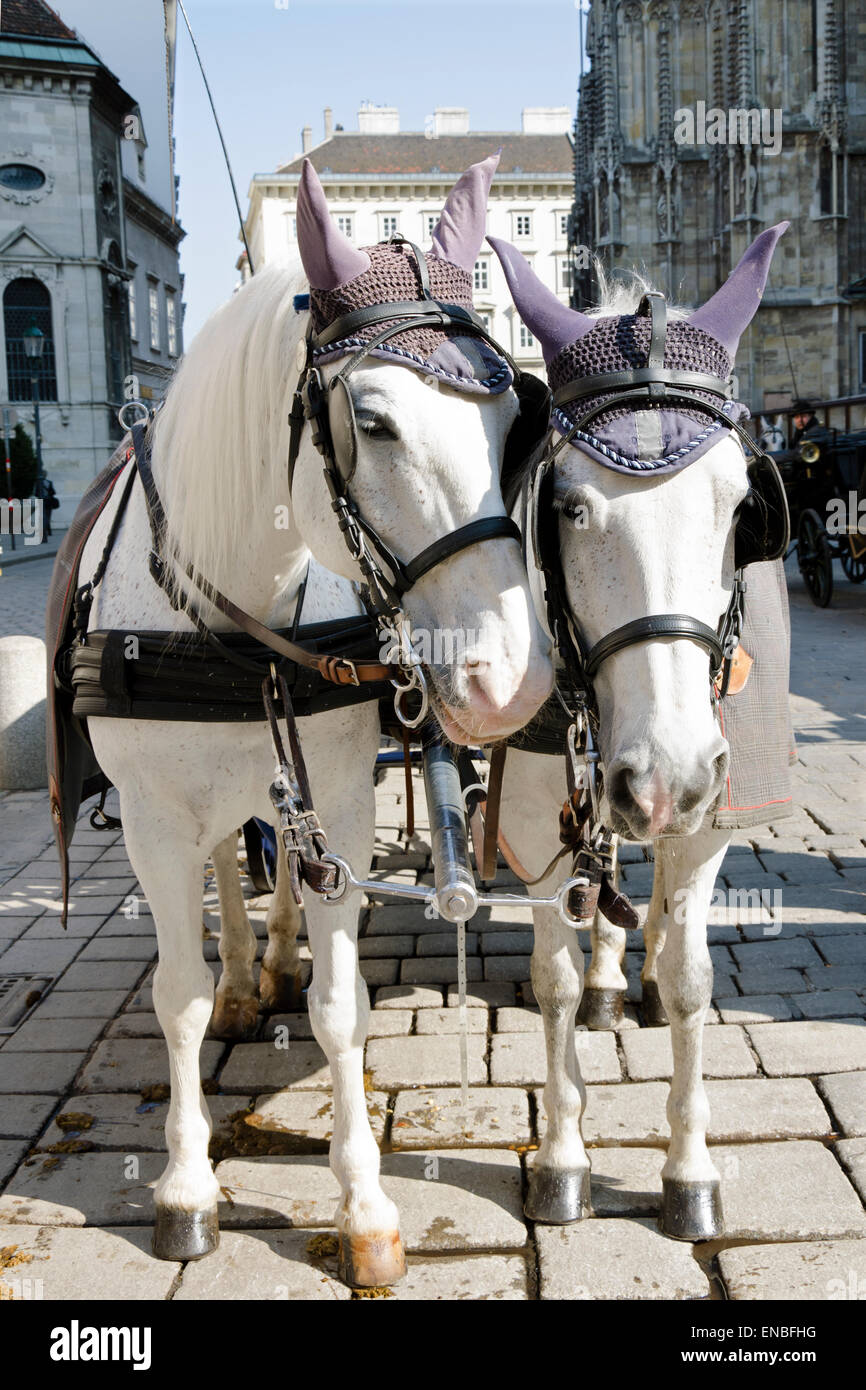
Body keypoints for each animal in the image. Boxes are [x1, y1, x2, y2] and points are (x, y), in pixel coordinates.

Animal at [71, 155, 554, 1286]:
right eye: (371, 422)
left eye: (514, 419)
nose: (511, 682)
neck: (237, 617)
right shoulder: (153, 821)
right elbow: (177, 993)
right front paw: (185, 1188)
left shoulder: (334, 793)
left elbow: (341, 1008)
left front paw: (366, 1204)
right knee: (225, 866)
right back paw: (250, 974)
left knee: (279, 859)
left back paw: (280, 952)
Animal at [488, 225, 791, 1240]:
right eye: (569, 506)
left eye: (741, 506)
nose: (667, 776)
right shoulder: (539, 823)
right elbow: (553, 979)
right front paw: (562, 1159)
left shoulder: (707, 816)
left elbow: (696, 979)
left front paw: (689, 1170)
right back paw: (611, 981)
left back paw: (642, 970)